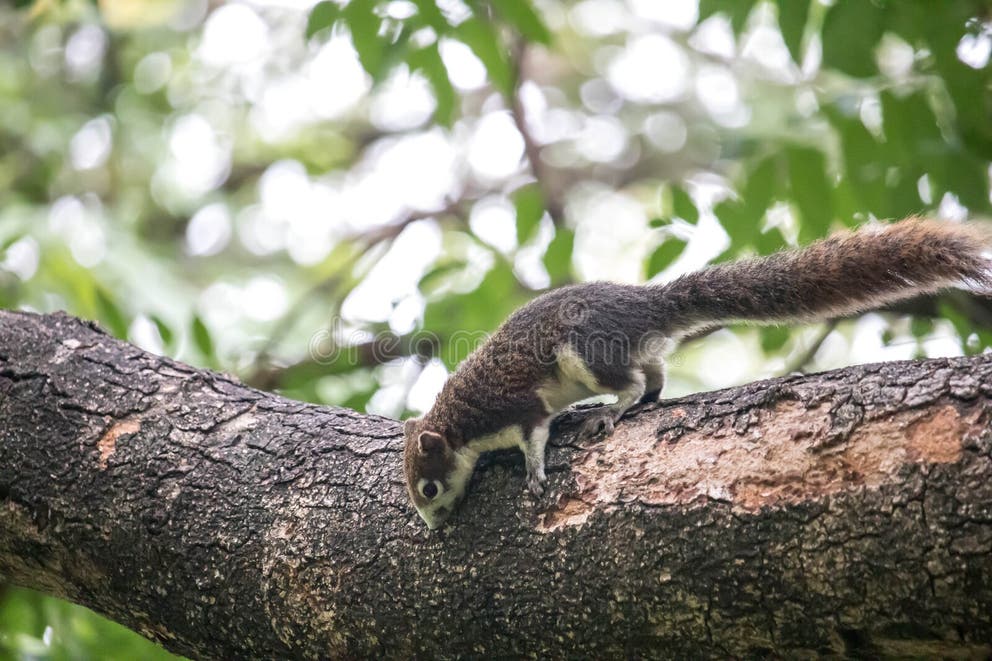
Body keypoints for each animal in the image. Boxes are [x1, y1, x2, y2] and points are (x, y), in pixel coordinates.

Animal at [403, 218, 992, 529]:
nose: (434, 528)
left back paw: (612, 412)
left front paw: (534, 473)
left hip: (586, 351)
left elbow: (534, 438)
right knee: (654, 375)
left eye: (428, 488)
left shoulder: (519, 407)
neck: (458, 421)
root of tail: (646, 307)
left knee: (631, 382)